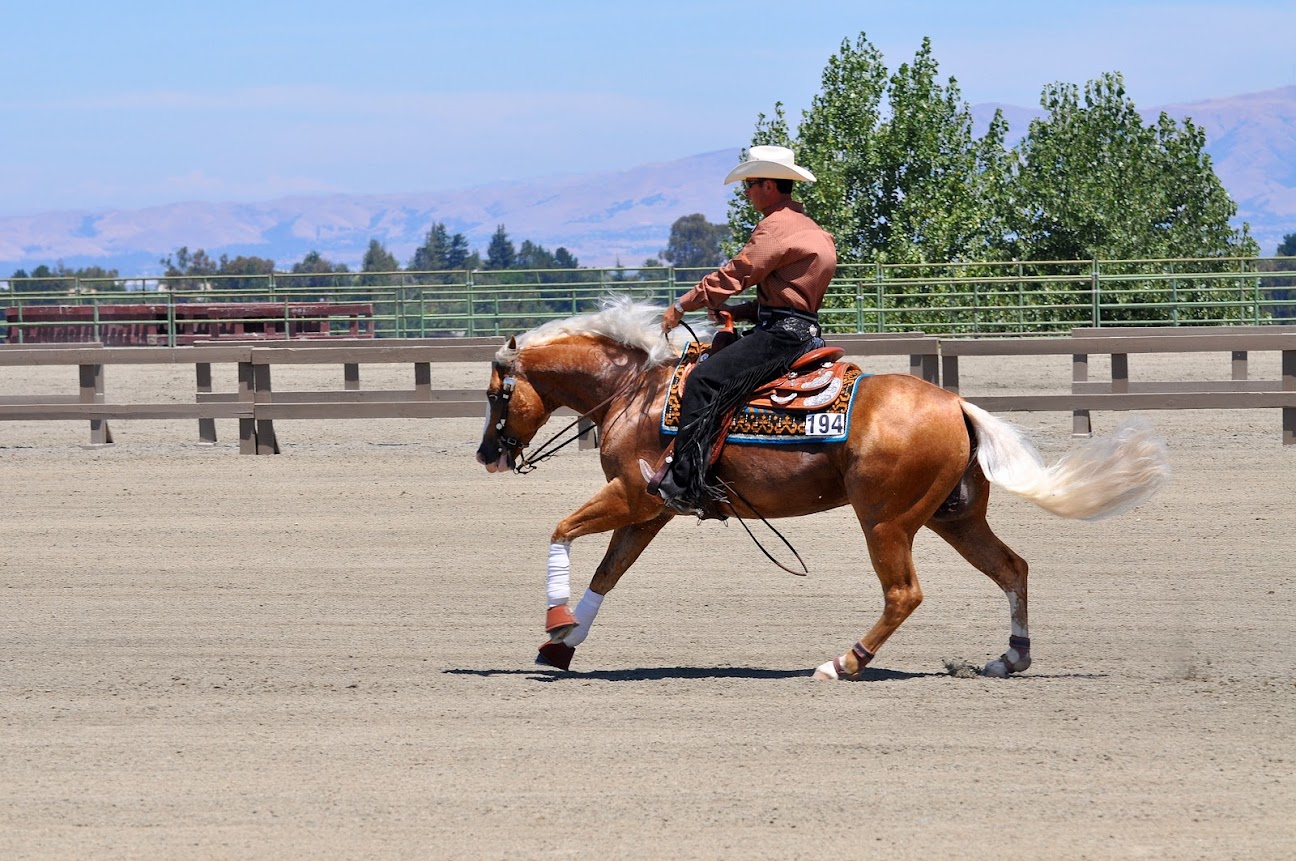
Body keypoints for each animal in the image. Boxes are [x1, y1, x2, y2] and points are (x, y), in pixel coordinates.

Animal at [475, 298, 1171, 680]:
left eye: (495, 394)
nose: (486, 455)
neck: (635, 392)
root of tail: (956, 404)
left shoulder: (637, 495)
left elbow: (563, 532)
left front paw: (557, 624)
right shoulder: (649, 509)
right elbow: (608, 573)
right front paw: (562, 645)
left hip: (886, 522)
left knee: (904, 594)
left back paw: (843, 663)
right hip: (954, 518)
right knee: (1012, 569)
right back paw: (1008, 658)